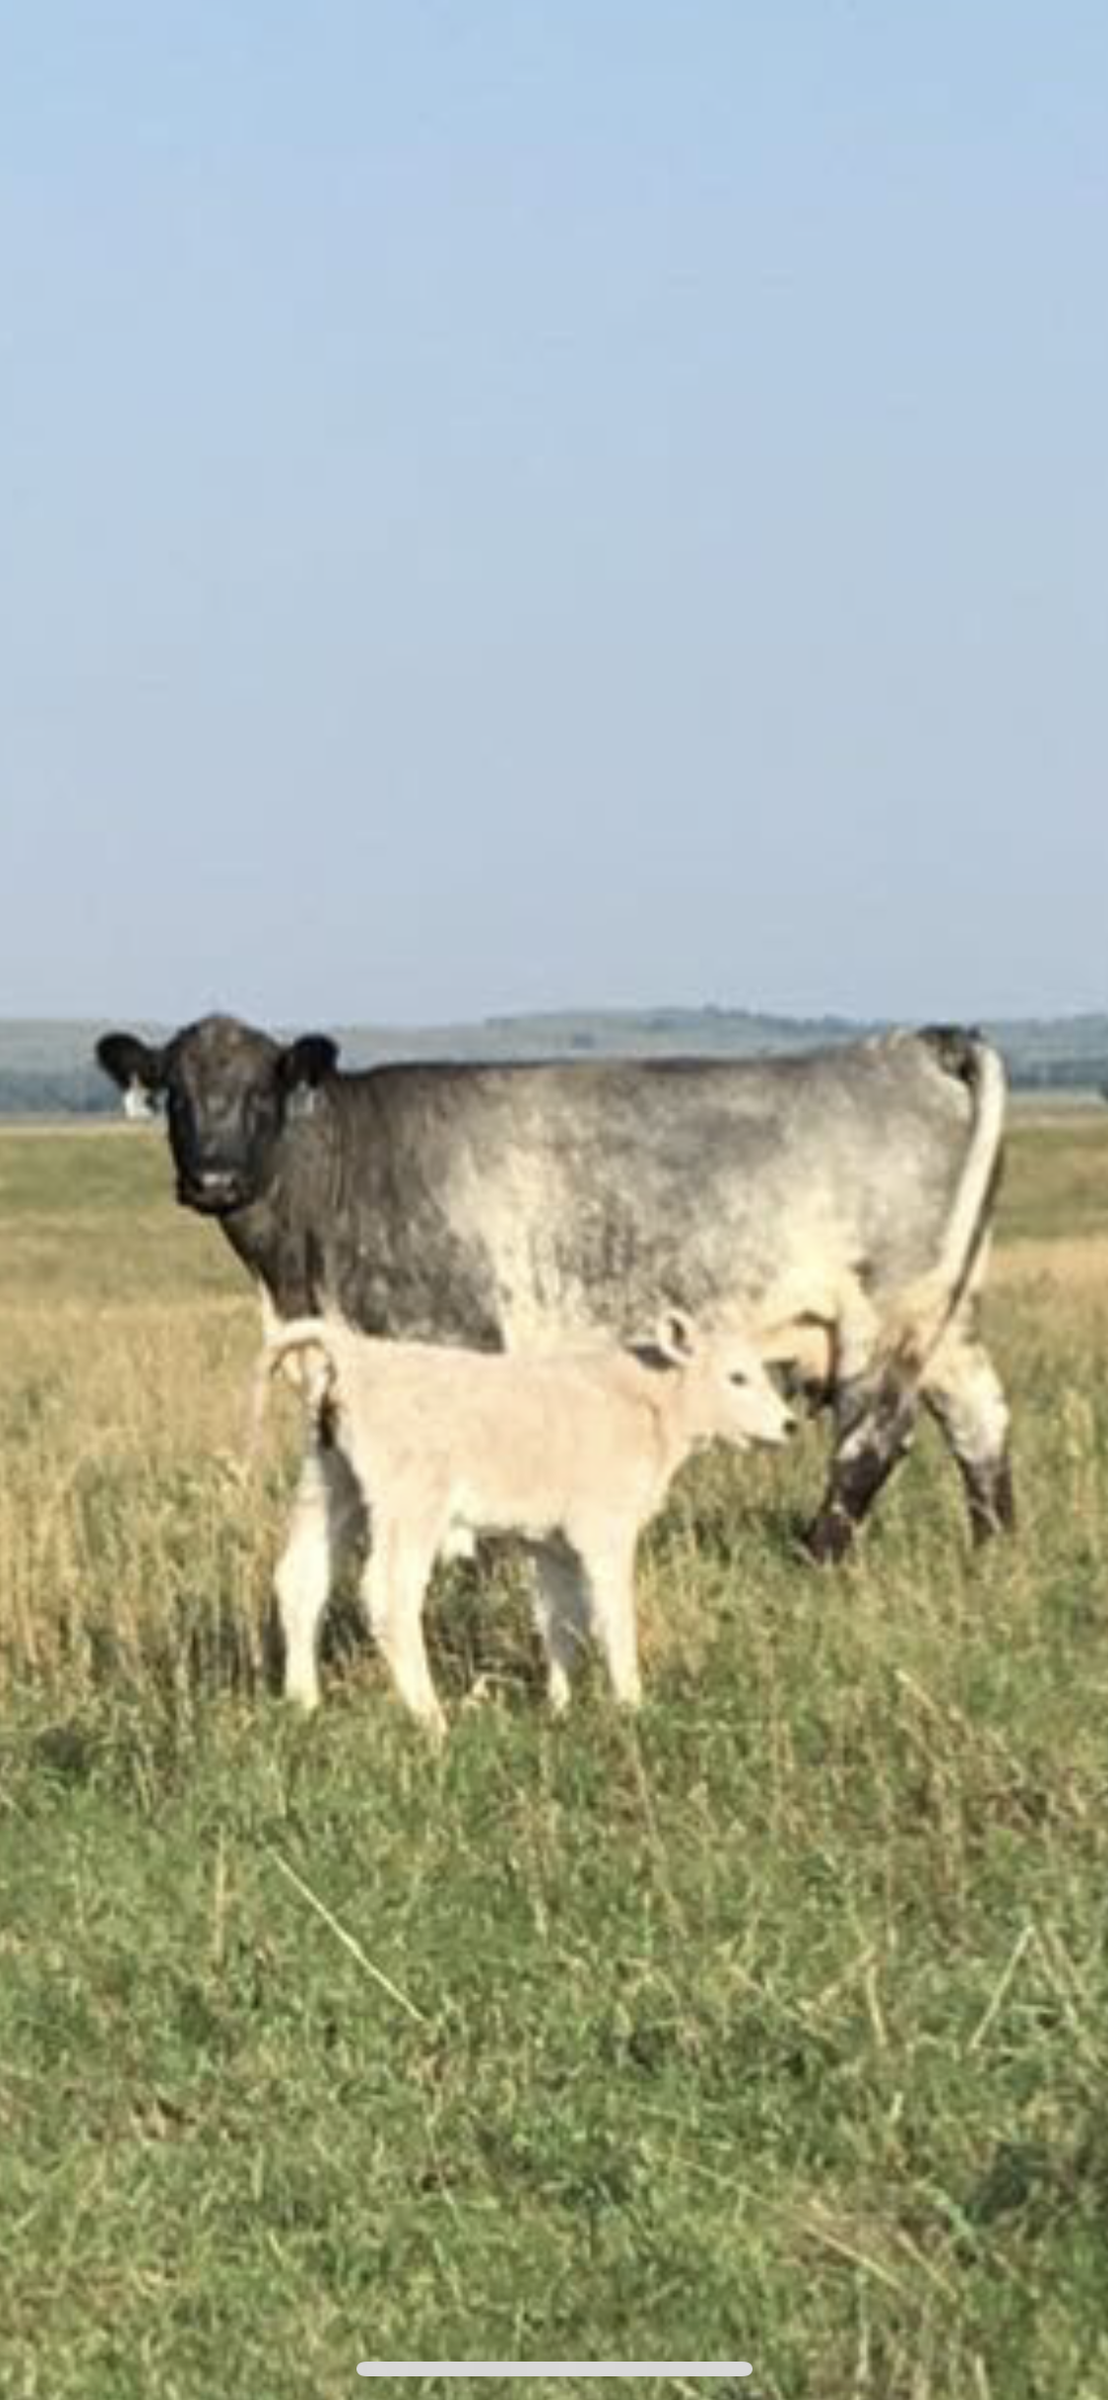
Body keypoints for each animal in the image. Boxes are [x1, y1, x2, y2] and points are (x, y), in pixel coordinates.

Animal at [96, 1013, 1014, 1569]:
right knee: (980, 1419)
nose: (214, 1178)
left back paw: (814, 1555)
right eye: (174, 1093)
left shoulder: (448, 1333)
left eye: (262, 1092)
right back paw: (993, 1554)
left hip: (884, 1313)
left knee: (873, 1440)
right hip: (948, 1318)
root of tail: (912, 1046)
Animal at [259, 1308, 797, 1731]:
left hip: (330, 1487)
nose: (790, 1424)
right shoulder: (606, 1531)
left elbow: (560, 1621)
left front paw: (559, 1707)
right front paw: (632, 1705)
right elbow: (614, 1617)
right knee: (390, 1594)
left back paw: (303, 1703)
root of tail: (357, 1353)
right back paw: (430, 1717)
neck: (645, 1403)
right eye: (737, 1377)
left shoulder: (552, 1544)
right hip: (409, 1505)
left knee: (301, 1580)